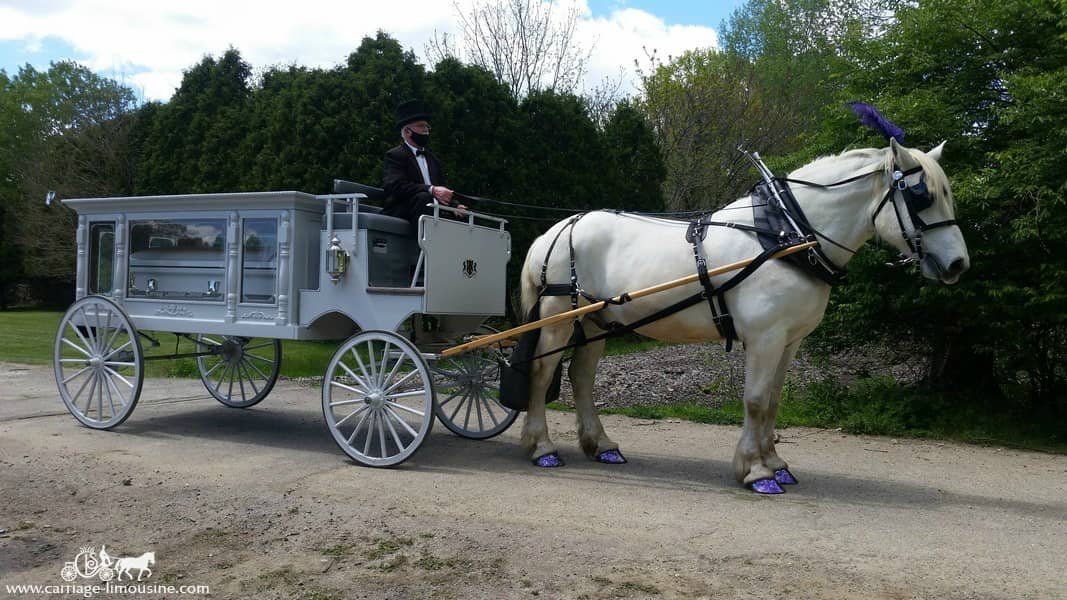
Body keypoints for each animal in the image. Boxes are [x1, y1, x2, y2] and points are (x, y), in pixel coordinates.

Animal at [518, 139, 969, 493]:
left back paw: (602, 445)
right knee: (541, 374)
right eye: (922, 196)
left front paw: (776, 465)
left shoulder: (789, 340)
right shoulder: (765, 337)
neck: (786, 236)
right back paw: (542, 447)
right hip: (558, 319)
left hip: (596, 321)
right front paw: (756, 471)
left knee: (581, 377)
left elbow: (772, 401)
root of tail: (557, 229)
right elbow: (754, 400)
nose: (958, 264)